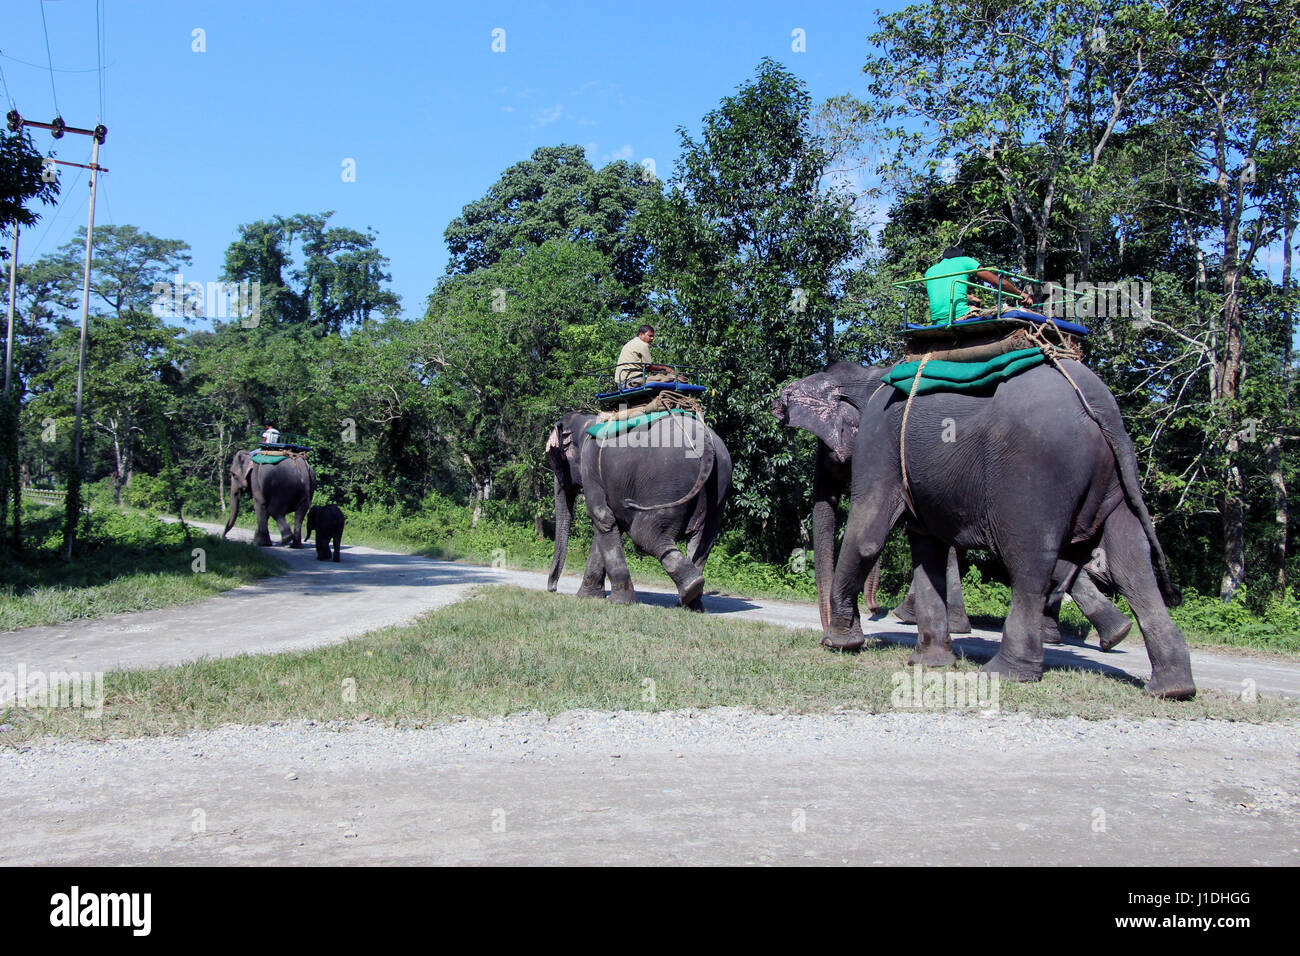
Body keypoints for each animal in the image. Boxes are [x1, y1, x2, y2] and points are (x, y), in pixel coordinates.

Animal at [545, 410, 732, 609]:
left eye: (554, 461)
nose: (552, 589)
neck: (587, 422)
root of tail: (706, 443)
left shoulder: (590, 467)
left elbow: (602, 517)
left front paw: (619, 602)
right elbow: (608, 524)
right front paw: (587, 596)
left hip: (666, 484)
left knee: (644, 535)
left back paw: (692, 587)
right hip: (719, 487)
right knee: (703, 541)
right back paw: (691, 603)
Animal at [773, 360, 1194, 699]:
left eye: (826, 448)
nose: (825, 630)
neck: (869, 375)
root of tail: (1100, 402)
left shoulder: (880, 441)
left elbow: (868, 534)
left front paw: (839, 645)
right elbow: (926, 547)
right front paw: (928, 663)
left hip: (1035, 473)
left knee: (1029, 562)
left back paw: (1006, 673)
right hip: (1113, 479)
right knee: (1131, 564)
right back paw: (1170, 687)